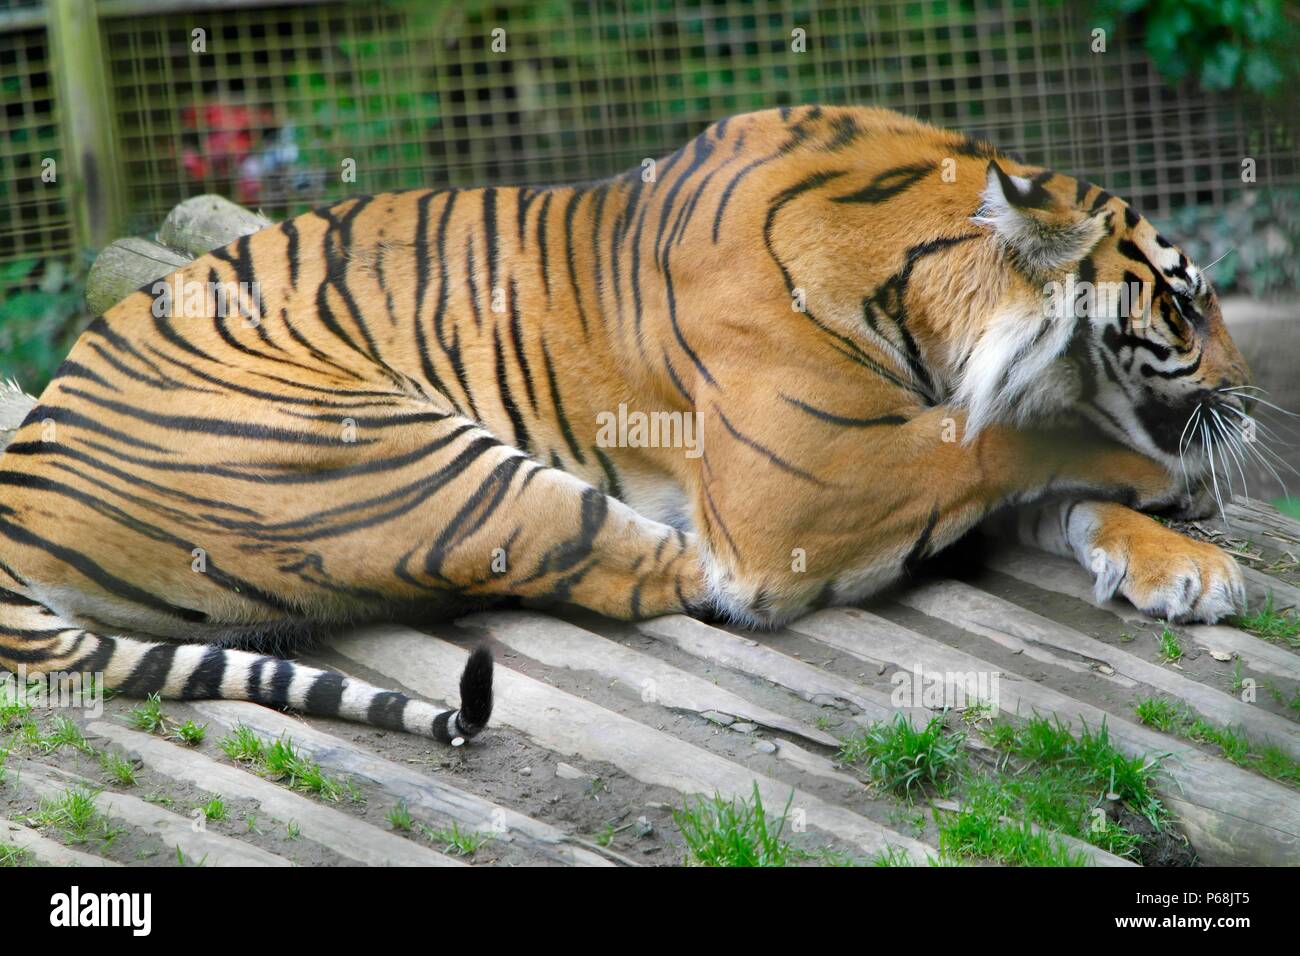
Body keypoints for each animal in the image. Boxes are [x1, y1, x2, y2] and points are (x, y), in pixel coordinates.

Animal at [0, 104, 1253, 744]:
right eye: (1185, 303)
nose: (1247, 397)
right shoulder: (804, 477)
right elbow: (1016, 449)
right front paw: (1162, 483)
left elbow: (1036, 481)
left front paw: (1180, 562)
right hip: (412, 457)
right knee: (658, 567)